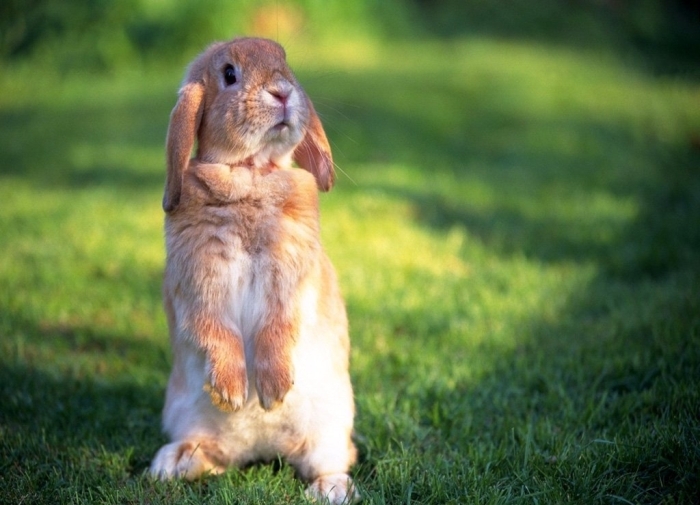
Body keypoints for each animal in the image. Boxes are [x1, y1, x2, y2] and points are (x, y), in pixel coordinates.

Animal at [148, 38, 358, 504]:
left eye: (285, 62)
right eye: (229, 74)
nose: (282, 92)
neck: (249, 173)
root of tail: (261, 449)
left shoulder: (290, 280)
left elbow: (277, 328)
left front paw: (274, 391)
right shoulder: (199, 282)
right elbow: (215, 329)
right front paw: (231, 392)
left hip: (331, 428)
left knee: (331, 459)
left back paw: (330, 489)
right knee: (212, 456)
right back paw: (172, 463)